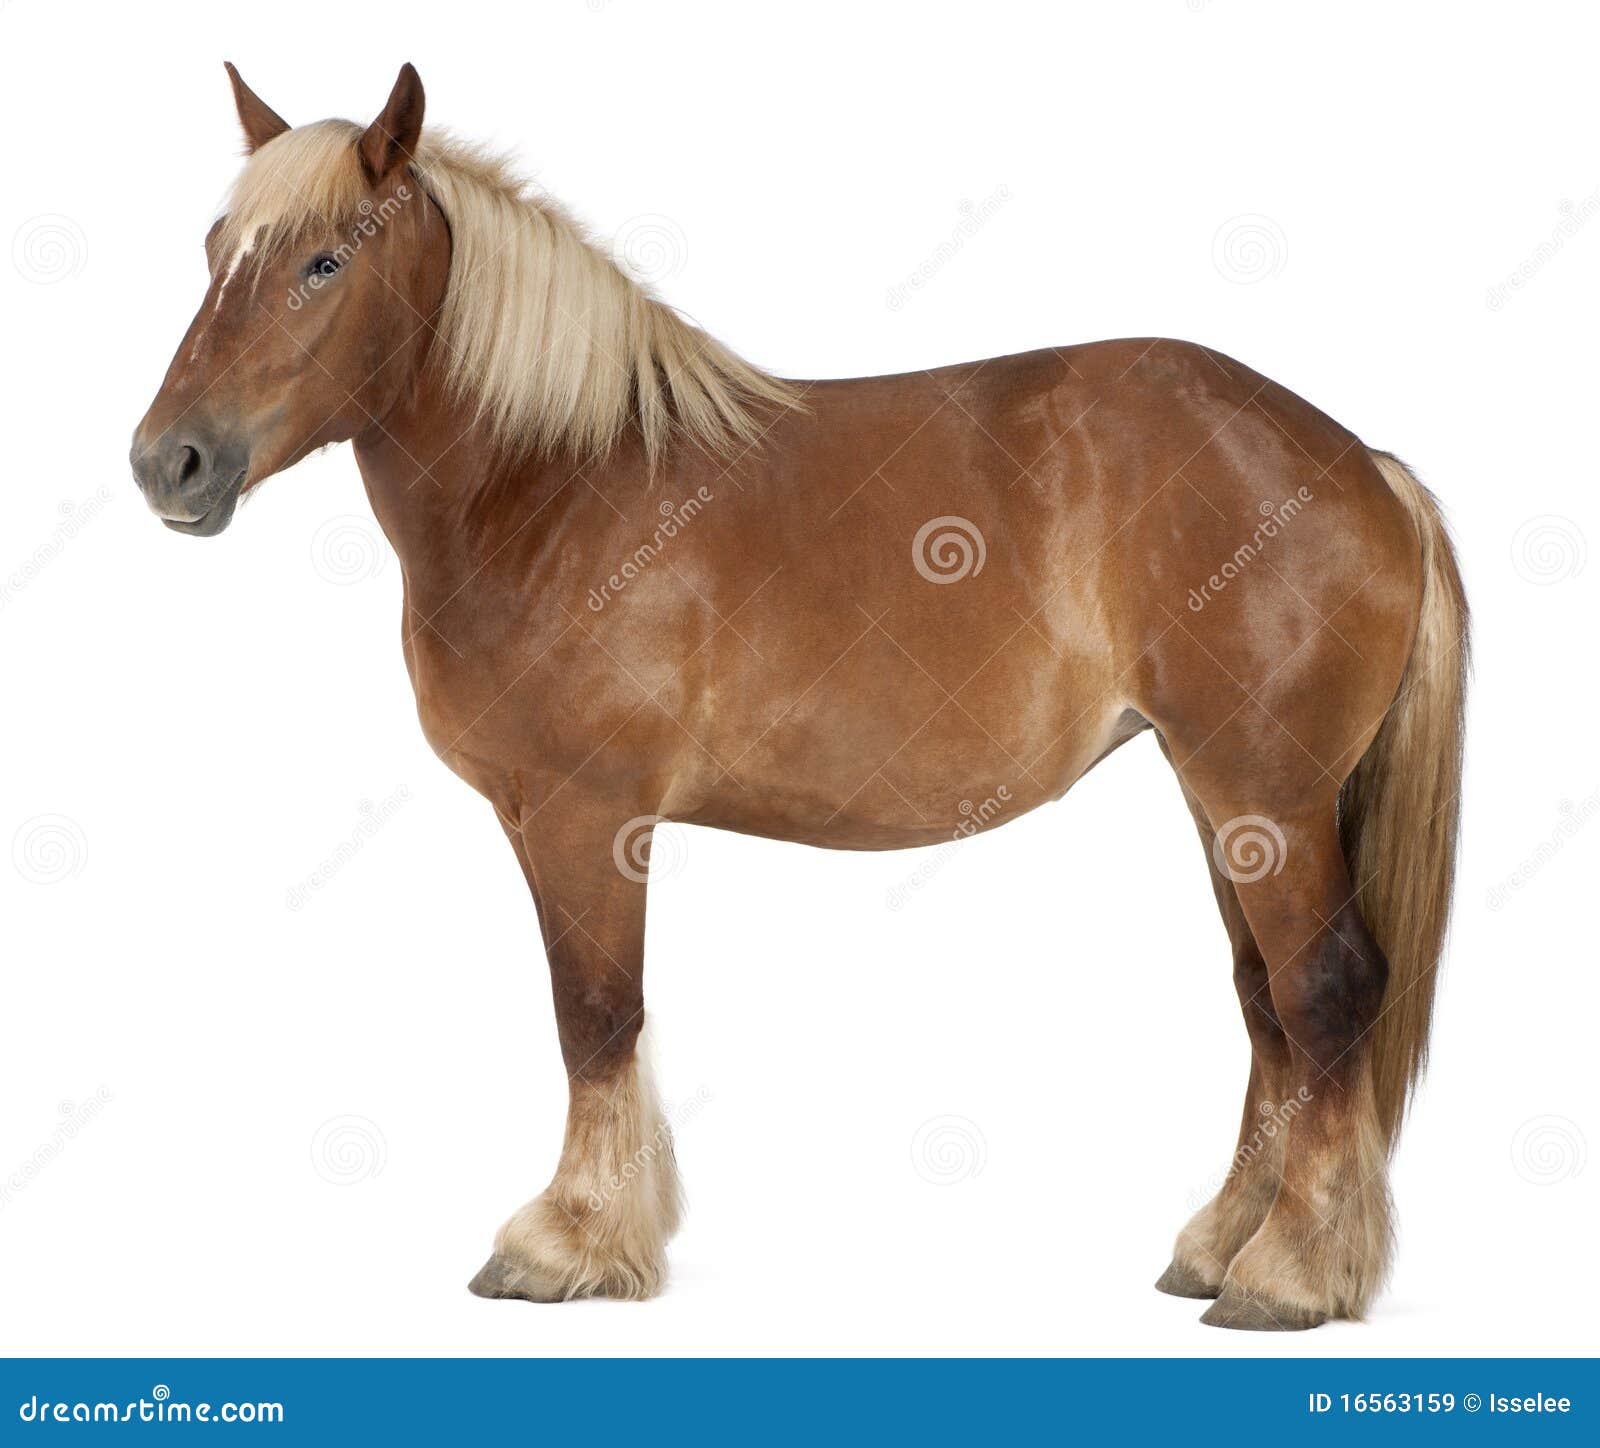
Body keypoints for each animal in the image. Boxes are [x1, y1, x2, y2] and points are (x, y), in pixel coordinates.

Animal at [130, 63, 1468, 1330]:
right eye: (214, 248)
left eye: (322, 259)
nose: (168, 463)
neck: (555, 484)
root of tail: (1363, 465)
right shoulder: (537, 815)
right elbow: (597, 1017)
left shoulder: (584, 812)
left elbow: (594, 1013)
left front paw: (566, 1243)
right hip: (1220, 796)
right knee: (1267, 1005)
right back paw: (1221, 1242)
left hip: (1262, 793)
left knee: (1325, 991)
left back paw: (1287, 1273)